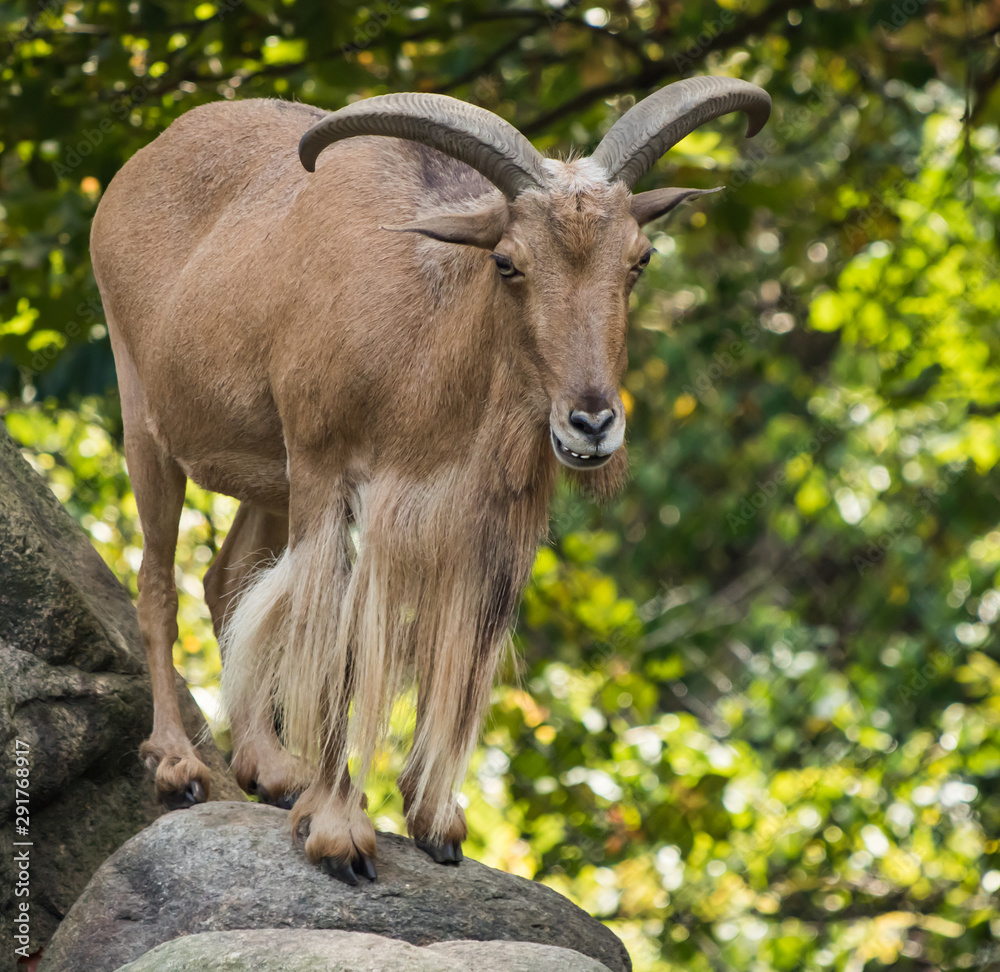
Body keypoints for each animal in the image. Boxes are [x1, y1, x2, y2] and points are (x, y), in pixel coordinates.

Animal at [90, 77, 770, 883]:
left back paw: (270, 766)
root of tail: (134, 169)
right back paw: (177, 765)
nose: (591, 423)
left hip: (266, 478)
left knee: (226, 581)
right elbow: (339, 647)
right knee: (157, 586)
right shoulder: (328, 478)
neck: (424, 338)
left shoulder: (480, 519)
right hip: (146, 420)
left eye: (638, 259)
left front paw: (434, 819)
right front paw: (340, 834)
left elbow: (457, 650)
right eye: (508, 262)